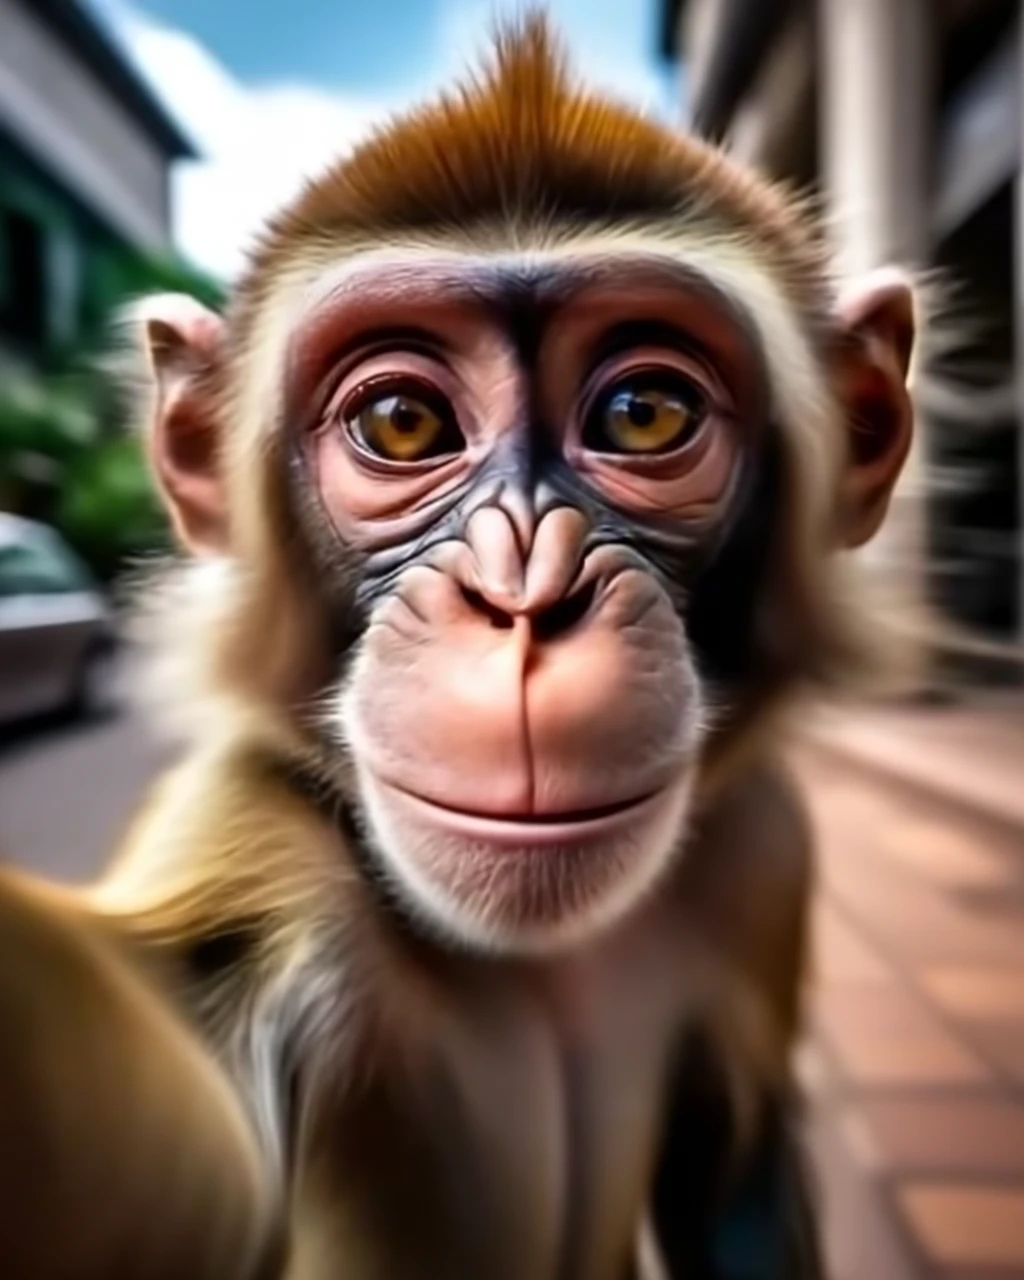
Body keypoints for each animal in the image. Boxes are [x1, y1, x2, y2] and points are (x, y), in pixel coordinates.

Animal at [0, 15, 916, 1278]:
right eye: (402, 422)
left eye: (644, 412)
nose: (521, 596)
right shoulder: (252, 874)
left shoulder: (763, 849)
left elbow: (740, 1172)